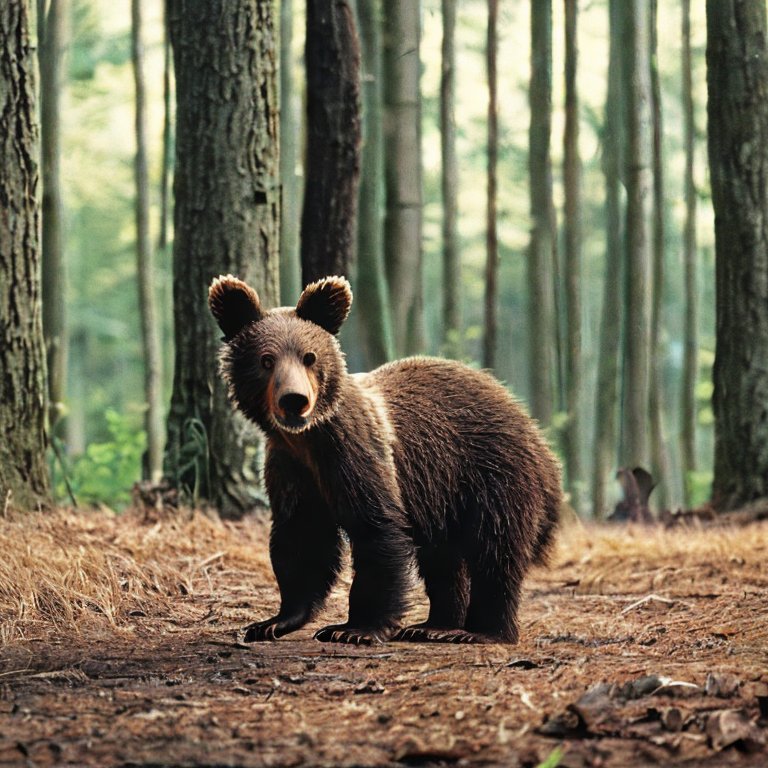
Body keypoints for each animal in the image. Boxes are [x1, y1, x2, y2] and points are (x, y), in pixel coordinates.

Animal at [208, 274, 561, 645]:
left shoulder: (357, 457)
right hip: (442, 496)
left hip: (491, 472)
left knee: (494, 552)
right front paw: (273, 622)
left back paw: (482, 632)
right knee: (443, 559)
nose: (294, 400)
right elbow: (302, 539)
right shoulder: (292, 470)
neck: (307, 441)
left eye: (309, 357)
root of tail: (535, 430)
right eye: (266, 360)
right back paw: (433, 626)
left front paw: (353, 628)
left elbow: (376, 529)